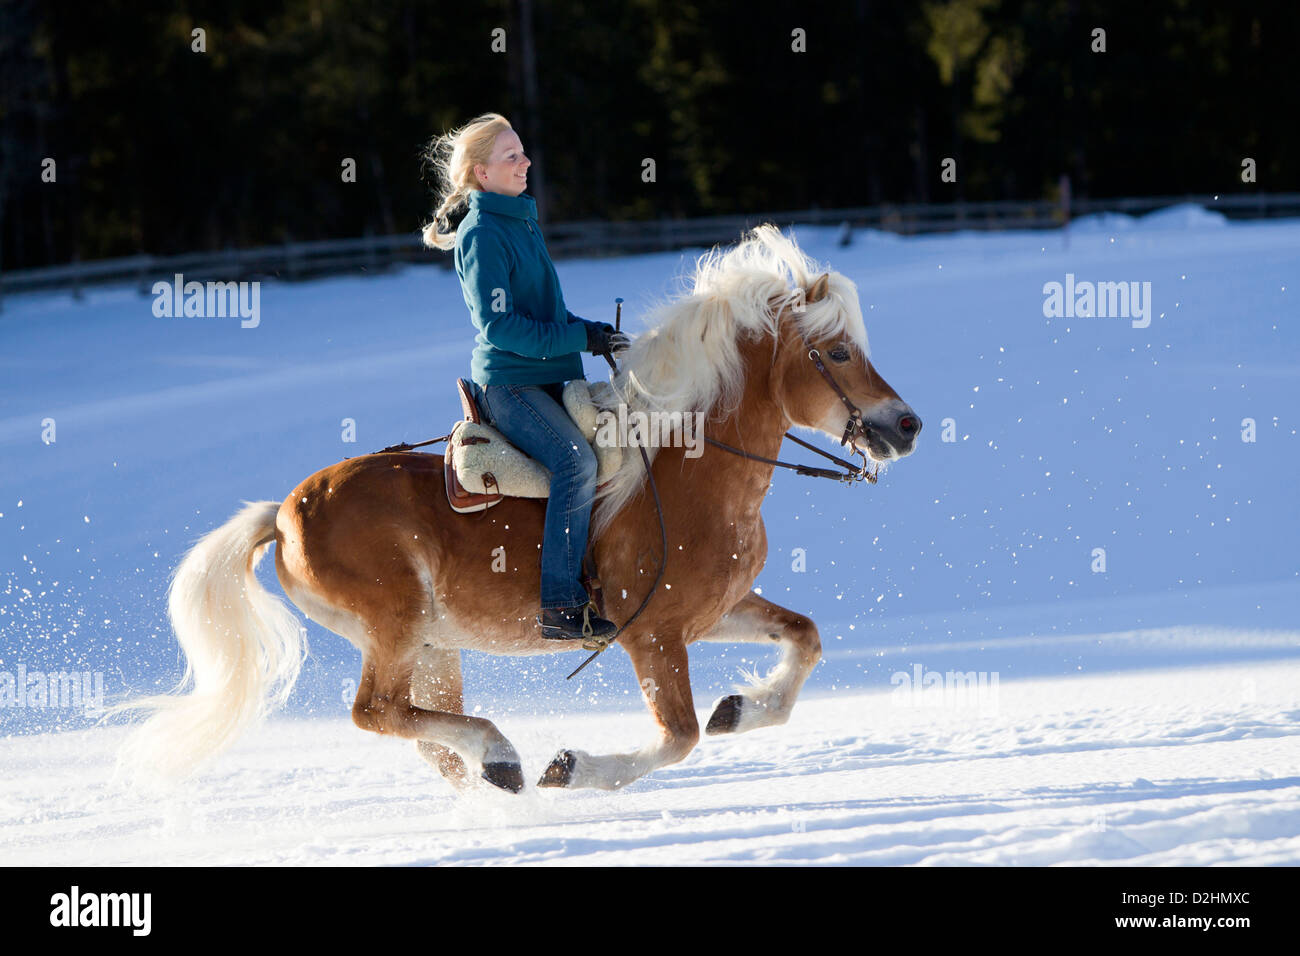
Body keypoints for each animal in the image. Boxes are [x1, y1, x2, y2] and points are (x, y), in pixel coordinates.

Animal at [114, 224, 921, 793]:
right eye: (839, 352)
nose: (907, 425)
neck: (690, 473)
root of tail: (283, 514)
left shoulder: (709, 612)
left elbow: (804, 640)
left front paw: (741, 708)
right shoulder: (651, 635)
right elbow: (678, 737)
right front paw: (574, 768)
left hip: (432, 646)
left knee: (418, 730)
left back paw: (492, 778)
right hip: (396, 627)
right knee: (374, 711)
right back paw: (503, 755)